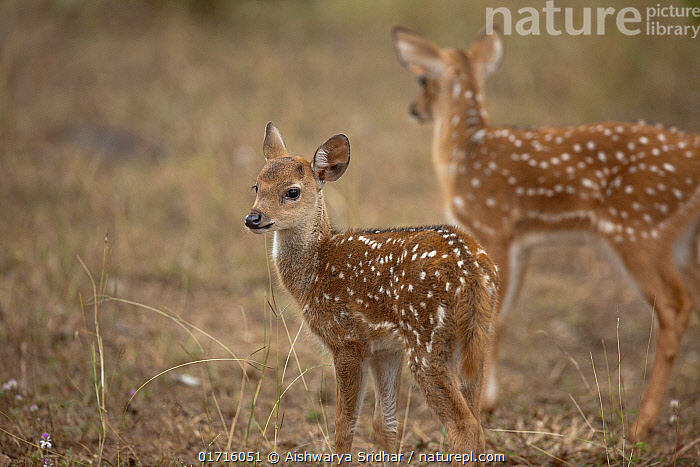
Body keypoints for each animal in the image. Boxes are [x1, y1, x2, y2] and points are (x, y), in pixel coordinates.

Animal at [245, 122, 499, 465]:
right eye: (256, 187)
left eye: (292, 191)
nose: (253, 218)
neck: (314, 269)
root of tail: (471, 267)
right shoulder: (385, 348)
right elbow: (384, 423)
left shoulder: (347, 340)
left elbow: (344, 424)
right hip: (476, 338)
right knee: (477, 418)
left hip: (427, 340)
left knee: (464, 424)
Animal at [392, 26, 700, 441]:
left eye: (422, 78)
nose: (414, 109)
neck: (461, 159)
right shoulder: (521, 243)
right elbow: (504, 314)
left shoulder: (494, 224)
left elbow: (492, 317)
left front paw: (485, 402)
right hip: (680, 241)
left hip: (638, 230)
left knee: (674, 307)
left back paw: (639, 425)